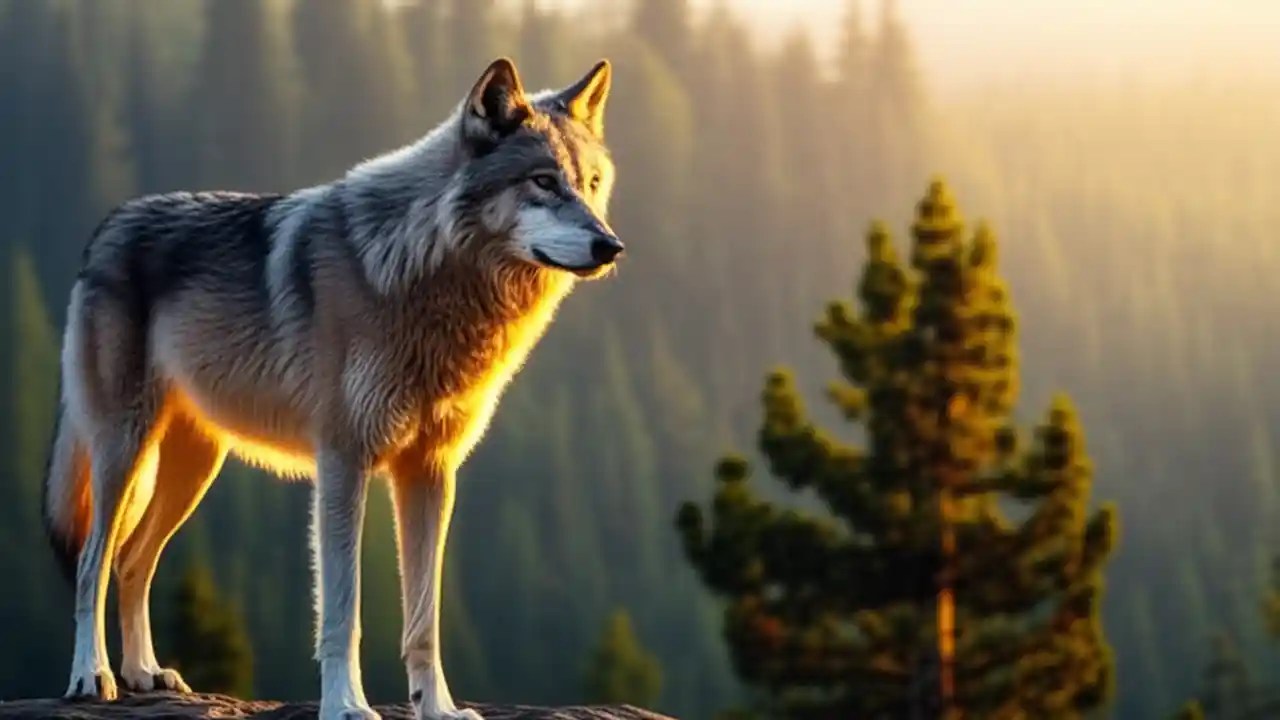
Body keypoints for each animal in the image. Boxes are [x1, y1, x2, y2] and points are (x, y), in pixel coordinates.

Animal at [40, 57, 620, 720]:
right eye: (544, 182)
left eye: (592, 183)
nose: (611, 245)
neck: (418, 271)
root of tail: (107, 228)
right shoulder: (344, 461)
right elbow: (343, 611)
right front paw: (346, 704)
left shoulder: (430, 472)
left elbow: (424, 621)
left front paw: (437, 707)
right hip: (123, 450)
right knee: (93, 562)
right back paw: (93, 676)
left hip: (195, 468)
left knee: (134, 560)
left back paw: (144, 673)